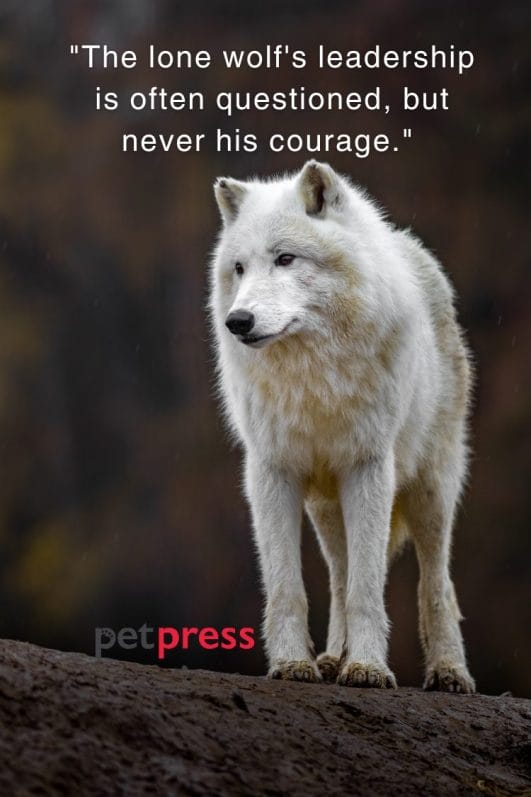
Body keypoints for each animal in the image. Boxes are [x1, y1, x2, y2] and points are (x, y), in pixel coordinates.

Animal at [209, 160, 475, 692]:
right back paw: (332, 658)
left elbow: (368, 590)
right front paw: (294, 664)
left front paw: (369, 668)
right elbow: (289, 587)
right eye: (240, 268)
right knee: (338, 574)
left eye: (285, 259)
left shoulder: (368, 469)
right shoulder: (272, 472)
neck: (312, 378)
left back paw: (449, 671)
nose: (238, 321)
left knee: (436, 582)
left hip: (431, 491)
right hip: (325, 508)